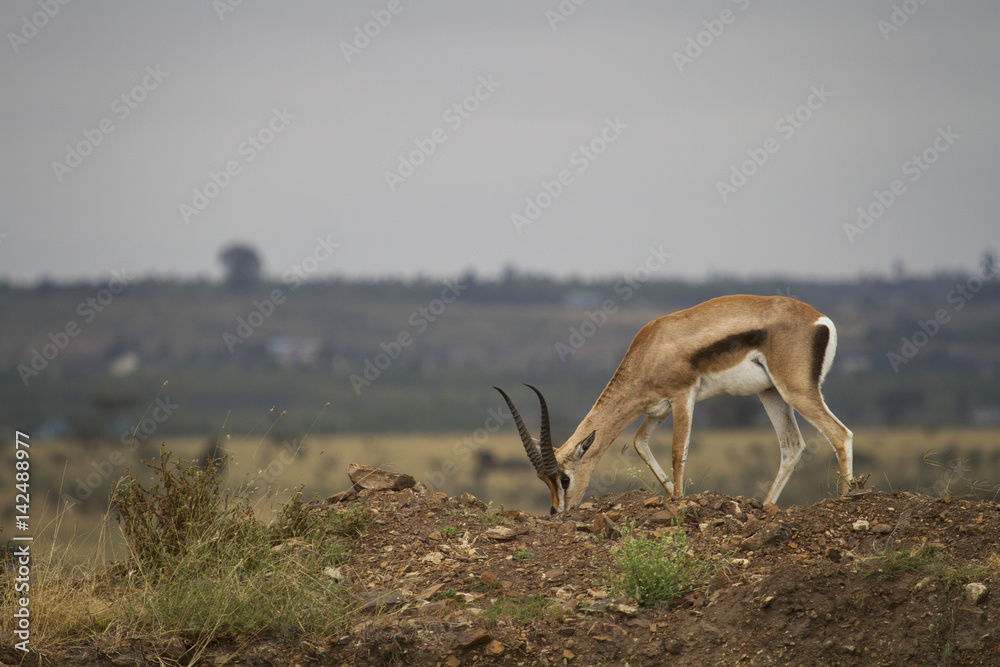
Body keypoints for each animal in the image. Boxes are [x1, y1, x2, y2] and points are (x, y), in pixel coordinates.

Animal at [495, 295, 854, 514]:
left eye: (565, 479)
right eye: (543, 480)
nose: (557, 512)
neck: (650, 349)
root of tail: (821, 320)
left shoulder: (683, 397)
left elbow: (678, 450)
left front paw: (679, 502)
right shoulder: (657, 410)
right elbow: (640, 443)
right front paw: (670, 495)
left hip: (795, 391)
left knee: (840, 434)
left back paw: (846, 499)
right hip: (770, 393)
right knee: (792, 446)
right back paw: (766, 507)